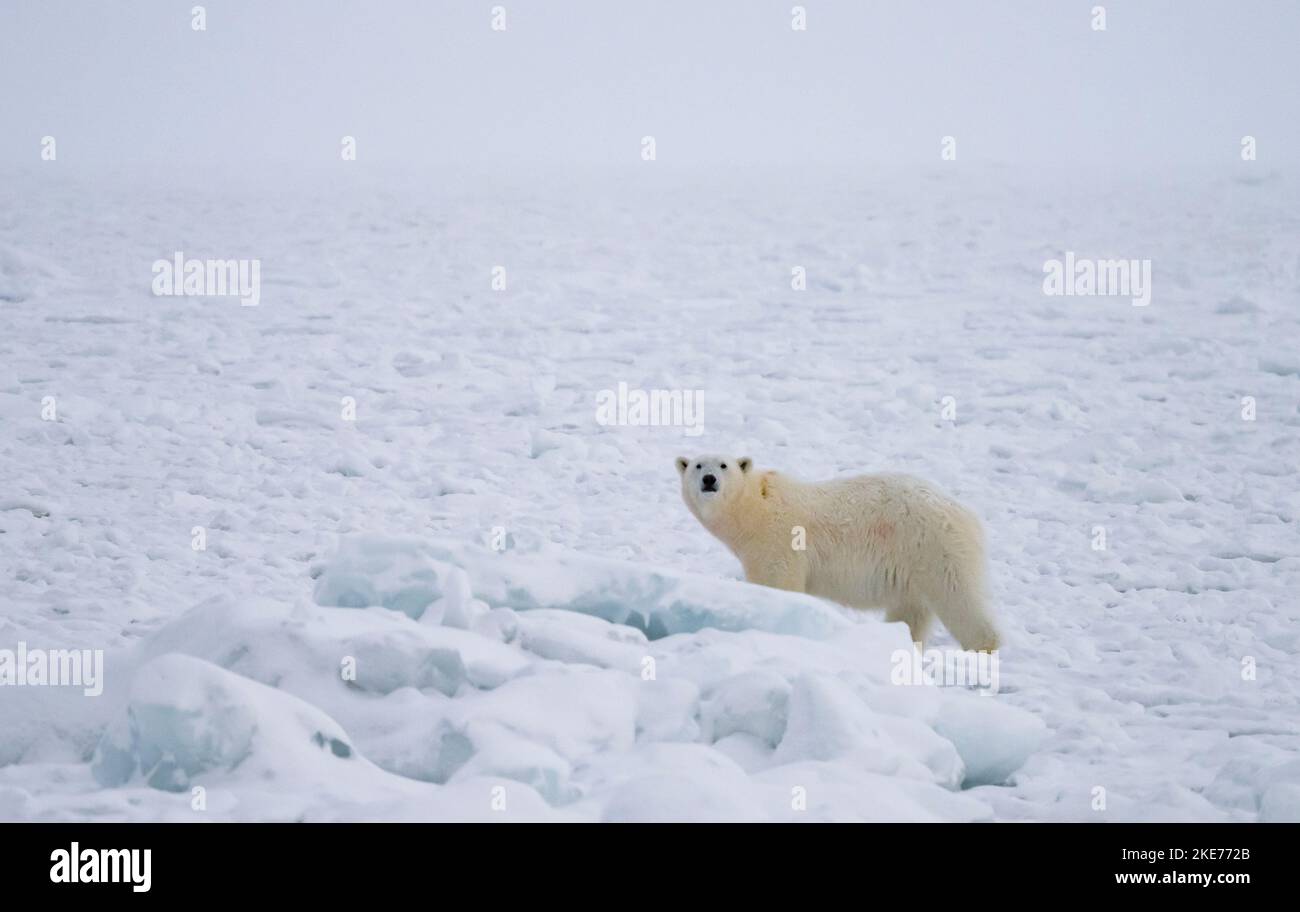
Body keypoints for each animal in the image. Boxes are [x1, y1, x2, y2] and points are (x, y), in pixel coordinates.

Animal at [676, 455, 1000, 652]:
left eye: (723, 465)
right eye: (697, 465)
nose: (709, 480)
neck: (755, 509)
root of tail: (967, 514)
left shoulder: (778, 542)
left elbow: (780, 585)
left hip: (934, 546)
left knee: (959, 598)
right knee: (911, 612)